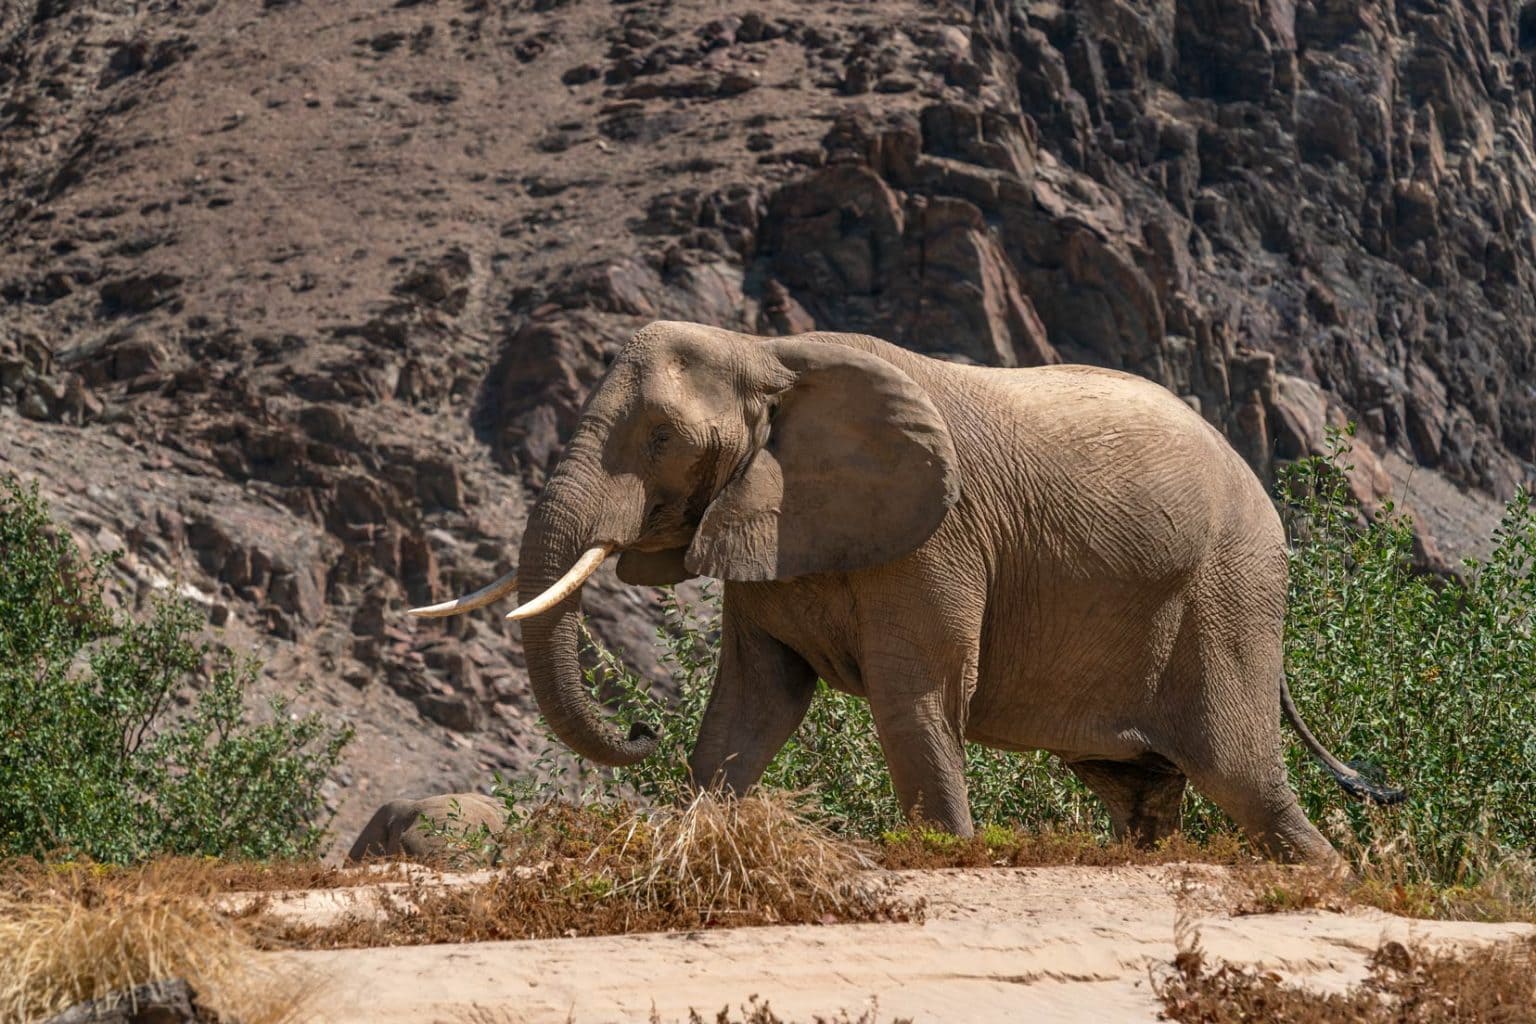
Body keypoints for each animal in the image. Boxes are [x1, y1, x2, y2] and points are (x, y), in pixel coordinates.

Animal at [412, 321, 1402, 863]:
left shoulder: (939, 539)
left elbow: (914, 696)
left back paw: (1334, 876)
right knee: (1139, 789)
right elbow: (753, 704)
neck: (768, 352)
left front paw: (950, 856)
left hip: (1228, 593)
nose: (638, 728)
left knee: (1245, 781)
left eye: (660, 437)